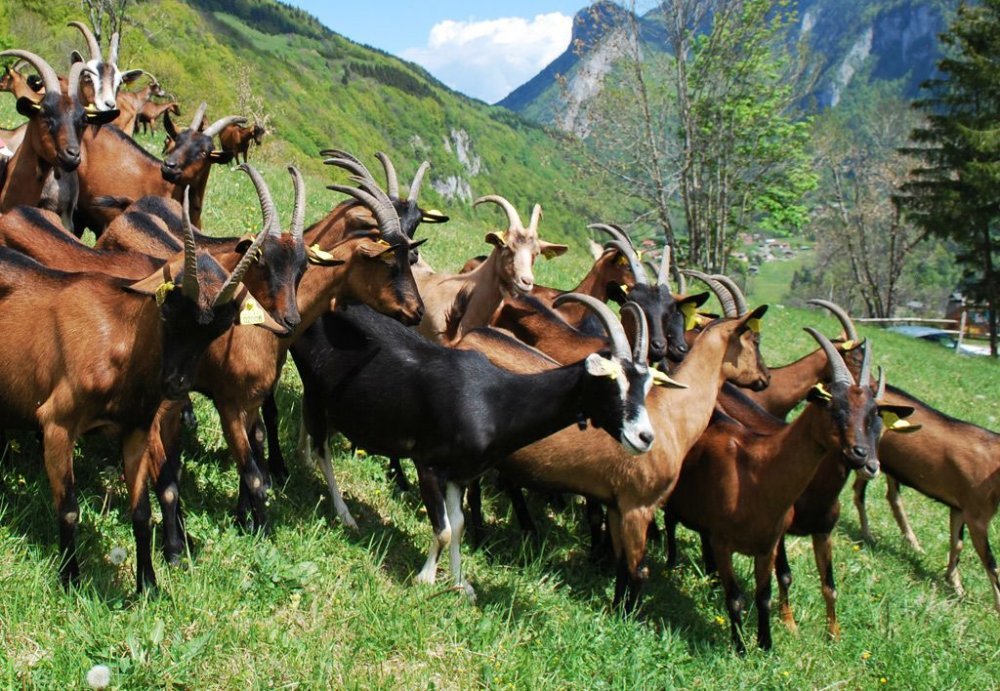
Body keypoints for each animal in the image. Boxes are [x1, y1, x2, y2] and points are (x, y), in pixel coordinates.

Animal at [0, 189, 271, 593]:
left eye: (219, 328)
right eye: (169, 309)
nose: (176, 383)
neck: (116, 343)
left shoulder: (137, 430)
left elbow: (141, 511)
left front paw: (149, 584)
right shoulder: (57, 425)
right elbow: (68, 509)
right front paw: (70, 578)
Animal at [293, 293, 661, 600]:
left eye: (646, 386)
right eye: (611, 382)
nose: (645, 437)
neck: (497, 402)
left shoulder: (460, 474)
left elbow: (457, 525)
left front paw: (461, 584)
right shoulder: (429, 465)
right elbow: (442, 529)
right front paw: (425, 578)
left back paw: (305, 464)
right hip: (315, 386)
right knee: (323, 448)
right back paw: (344, 512)